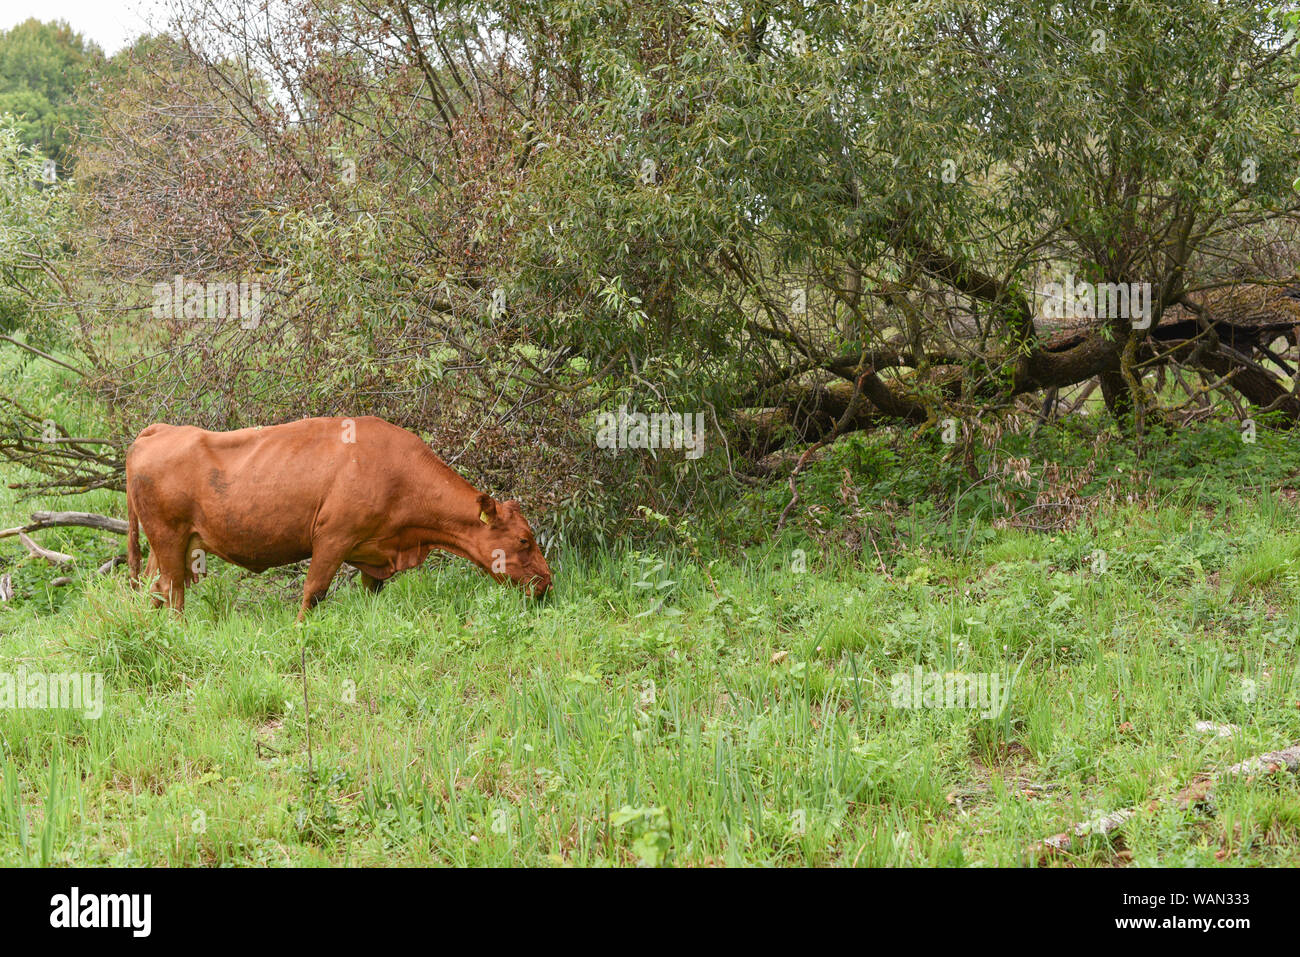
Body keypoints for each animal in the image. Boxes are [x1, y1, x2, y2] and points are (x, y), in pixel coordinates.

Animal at [125, 416, 552, 618]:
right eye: (524, 540)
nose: (547, 582)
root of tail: (160, 430)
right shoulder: (332, 538)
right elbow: (313, 592)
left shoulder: (374, 553)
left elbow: (371, 594)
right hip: (169, 541)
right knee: (172, 594)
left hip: (168, 547)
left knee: (151, 592)